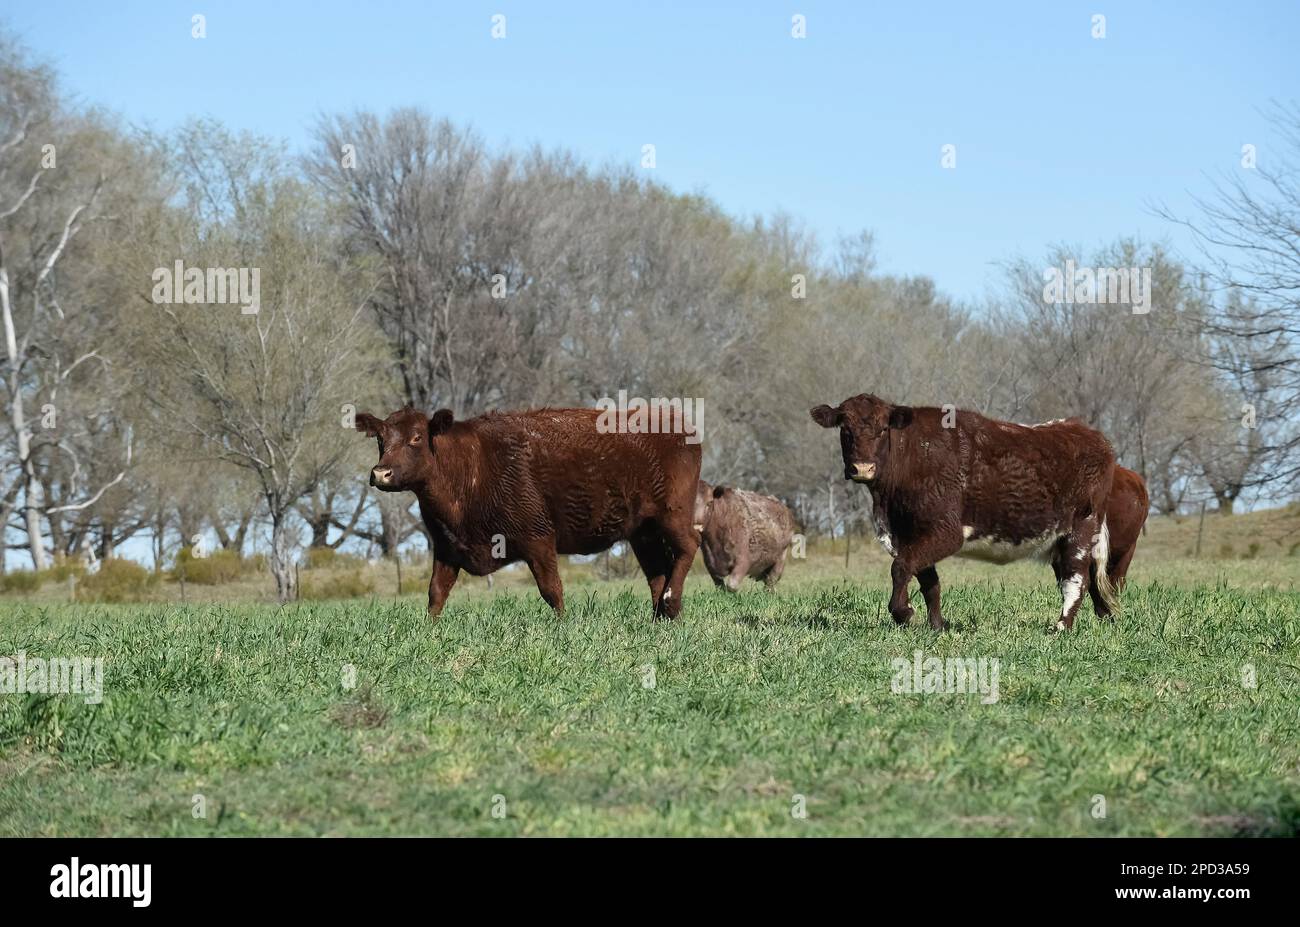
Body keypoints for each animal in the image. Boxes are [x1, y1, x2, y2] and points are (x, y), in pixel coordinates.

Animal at [355, 406, 701, 620]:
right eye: (381, 439)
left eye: (416, 438)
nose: (380, 473)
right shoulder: (446, 547)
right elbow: (436, 593)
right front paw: (430, 631)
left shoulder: (539, 538)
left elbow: (552, 590)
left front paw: (563, 627)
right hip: (643, 532)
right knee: (658, 573)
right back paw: (661, 619)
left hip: (673, 514)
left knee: (688, 548)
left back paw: (671, 604)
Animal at [810, 394, 1117, 631]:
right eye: (845, 429)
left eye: (883, 428)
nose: (862, 468)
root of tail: (1091, 435)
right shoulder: (909, 535)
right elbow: (929, 581)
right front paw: (937, 626)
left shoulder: (946, 532)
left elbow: (901, 567)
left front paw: (904, 613)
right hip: (1058, 539)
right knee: (1085, 578)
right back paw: (1106, 617)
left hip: (1081, 529)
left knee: (1076, 580)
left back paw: (1061, 627)